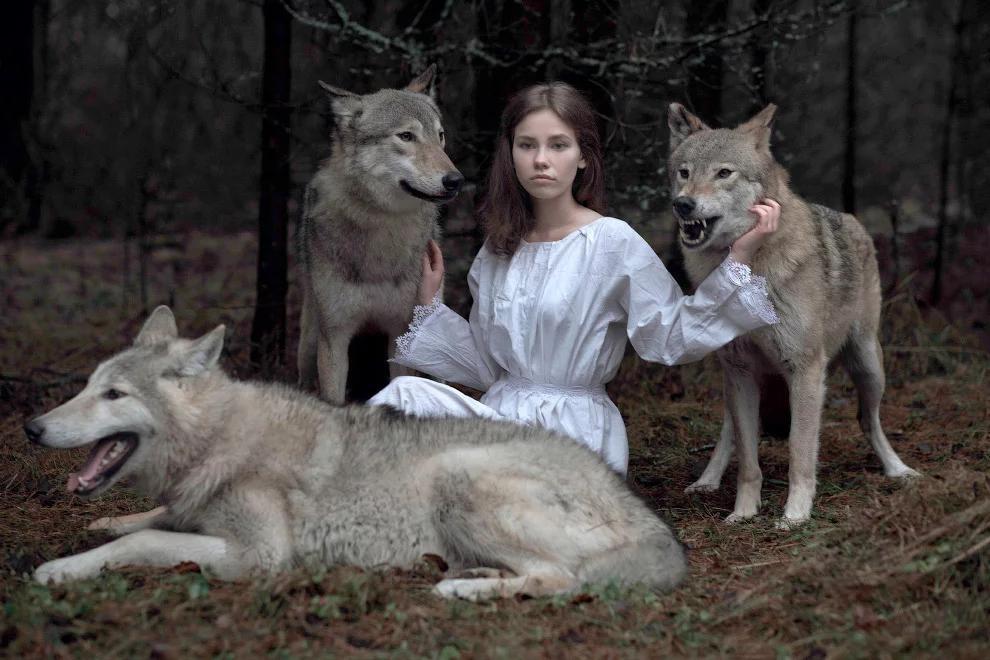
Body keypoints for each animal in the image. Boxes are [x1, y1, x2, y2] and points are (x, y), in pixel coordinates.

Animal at [24, 306, 687, 599]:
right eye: (87, 385)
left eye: (113, 395)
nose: (31, 427)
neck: (221, 436)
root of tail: (658, 528)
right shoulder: (190, 509)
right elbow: (145, 519)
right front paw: (104, 521)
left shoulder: (260, 556)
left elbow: (141, 542)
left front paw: (62, 568)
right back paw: (472, 574)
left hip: (458, 474)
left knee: (563, 580)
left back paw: (461, 590)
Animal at [298, 64, 463, 403]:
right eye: (406, 136)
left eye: (440, 136)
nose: (456, 180)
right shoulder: (334, 338)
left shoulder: (401, 332)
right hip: (308, 343)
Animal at [666, 103, 919, 528]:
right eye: (684, 172)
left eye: (724, 173)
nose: (683, 204)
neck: (750, 265)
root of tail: (852, 219)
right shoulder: (740, 371)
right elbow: (748, 461)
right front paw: (743, 512)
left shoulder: (805, 370)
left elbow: (800, 453)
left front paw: (795, 515)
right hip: (736, 382)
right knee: (729, 432)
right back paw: (707, 480)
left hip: (869, 366)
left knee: (868, 420)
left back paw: (897, 469)